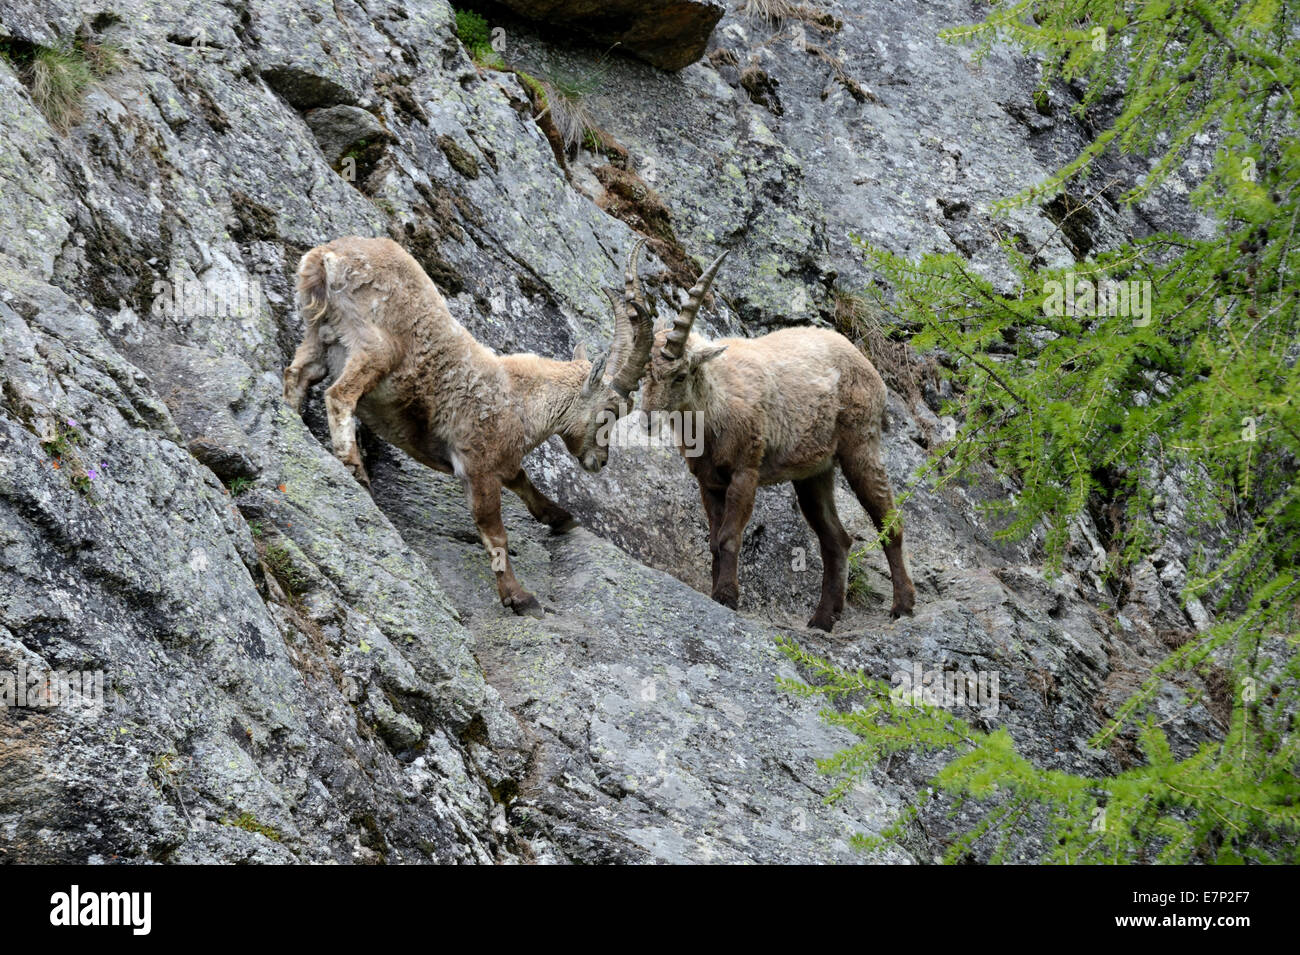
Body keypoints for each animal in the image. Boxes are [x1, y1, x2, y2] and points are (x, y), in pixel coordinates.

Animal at [283, 235, 678, 617]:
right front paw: (520, 598)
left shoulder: (500, 459)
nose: (601, 461)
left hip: (320, 336)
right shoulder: (478, 464)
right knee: (339, 394)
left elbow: (520, 478)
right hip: (375, 348)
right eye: (611, 409)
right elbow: (495, 533)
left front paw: (559, 516)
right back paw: (356, 470)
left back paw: (291, 419)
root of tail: (326, 256)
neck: (520, 397)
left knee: (296, 375)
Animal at [637, 254, 916, 631]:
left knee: (891, 522)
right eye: (644, 374)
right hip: (813, 474)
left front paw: (727, 596)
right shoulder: (708, 481)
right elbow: (713, 541)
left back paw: (902, 605)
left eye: (679, 375)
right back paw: (823, 618)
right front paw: (717, 591)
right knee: (836, 540)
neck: (716, 410)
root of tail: (867, 364)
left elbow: (728, 537)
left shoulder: (745, 470)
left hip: (861, 446)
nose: (647, 419)